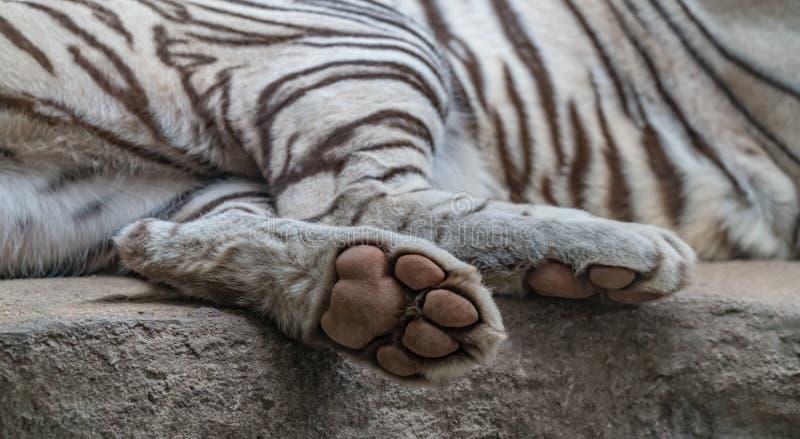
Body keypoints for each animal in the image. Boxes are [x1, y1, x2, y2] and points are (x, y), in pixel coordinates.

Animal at [0, 0, 797, 384]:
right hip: (365, 36)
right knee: (359, 198)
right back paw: (614, 251)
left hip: (124, 196)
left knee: (163, 242)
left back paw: (378, 294)